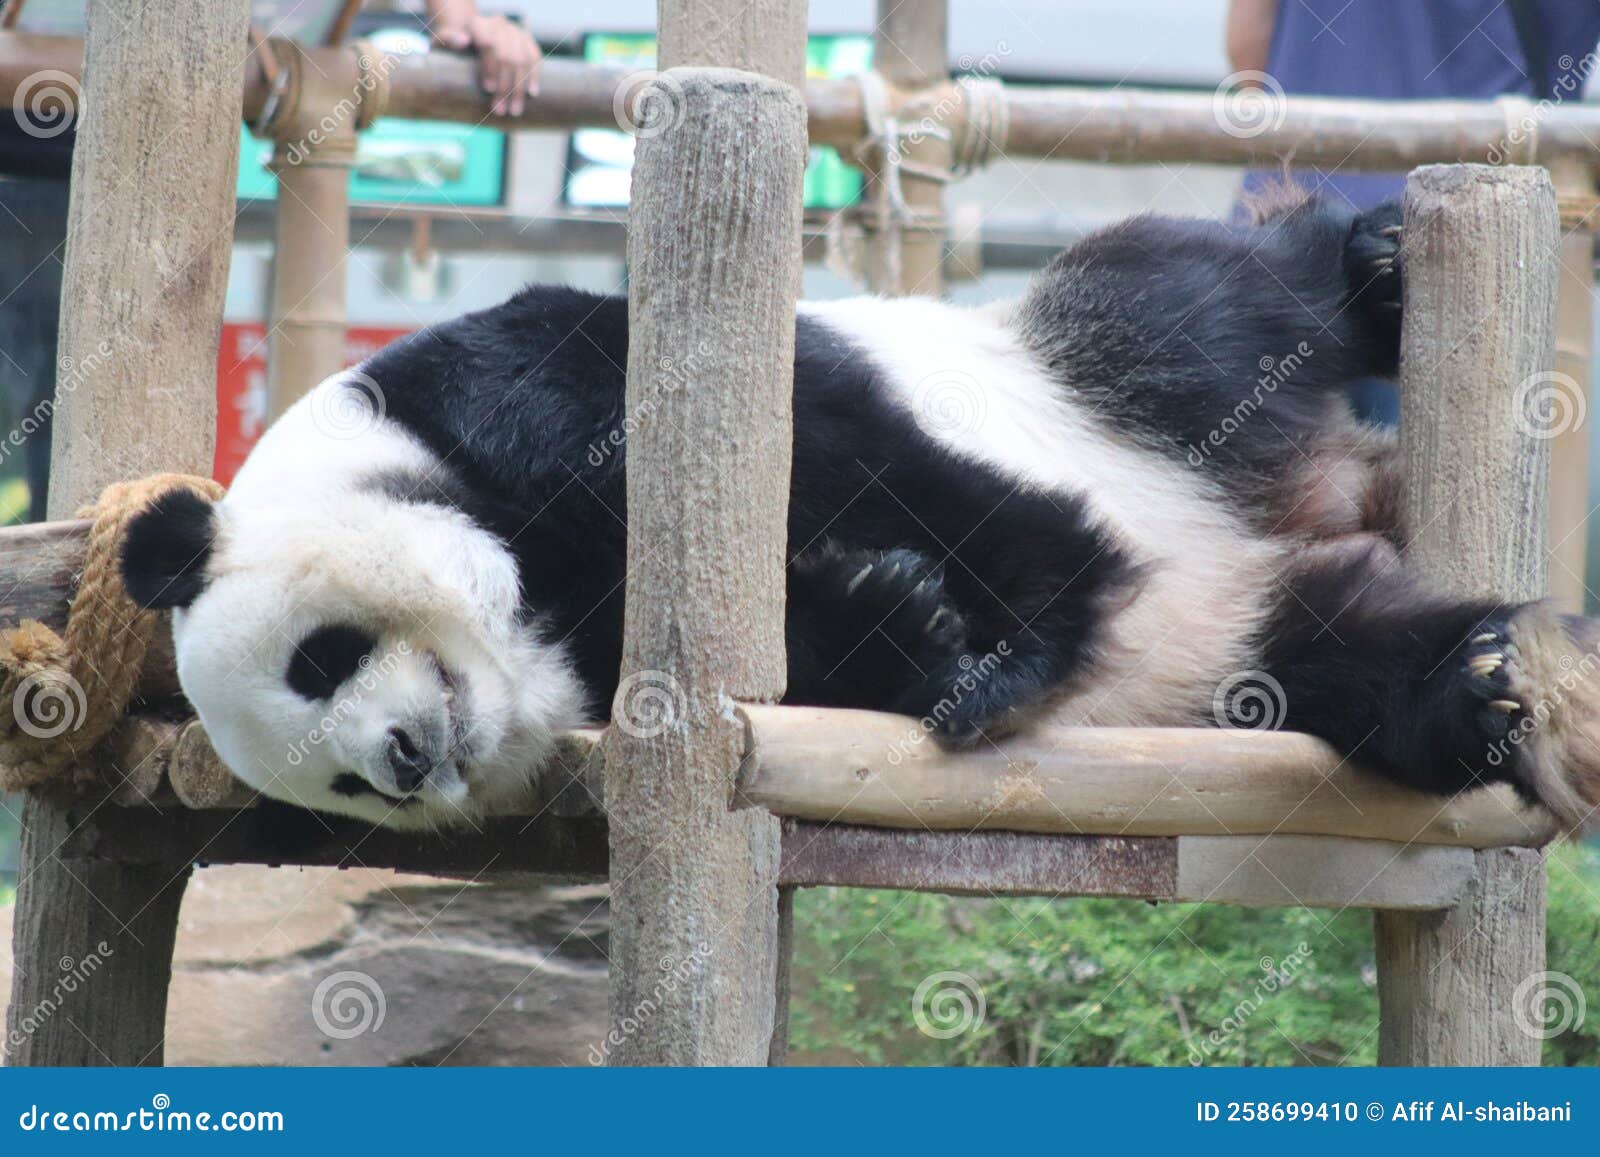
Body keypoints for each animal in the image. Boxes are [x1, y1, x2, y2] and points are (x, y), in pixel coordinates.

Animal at [121, 191, 1600, 834]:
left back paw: (1376, 269)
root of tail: (1326, 490)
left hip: (1098, 375)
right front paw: (898, 619)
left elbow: (839, 456)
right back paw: (1470, 691)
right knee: (1337, 651)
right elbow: (813, 651)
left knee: (1201, 306)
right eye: (337, 783)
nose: (408, 759)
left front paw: (1022, 632)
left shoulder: (506, 387)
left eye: (322, 659)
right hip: (1250, 647)